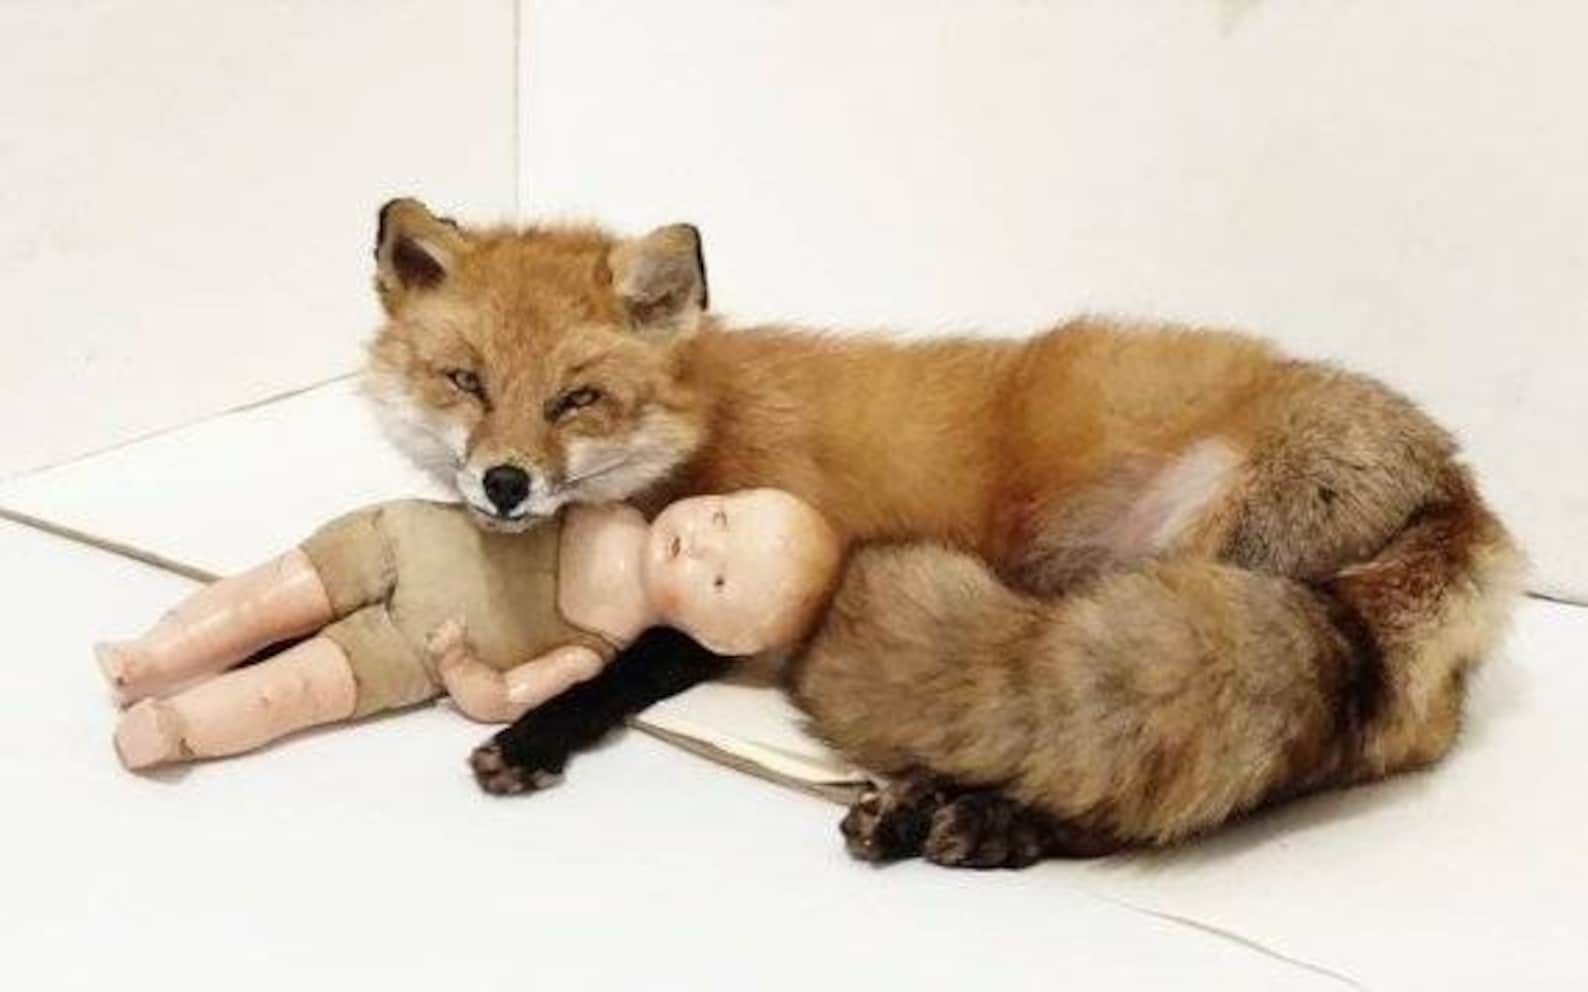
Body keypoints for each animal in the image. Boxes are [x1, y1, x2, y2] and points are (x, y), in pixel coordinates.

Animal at [364, 198, 1524, 868]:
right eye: (466, 382)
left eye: (577, 401)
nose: (504, 484)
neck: (702, 418)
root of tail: (1466, 497)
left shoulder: (762, 573)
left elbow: (619, 670)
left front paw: (534, 734)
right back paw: (931, 807)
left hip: (1205, 572)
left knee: (1199, 784)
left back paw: (981, 820)